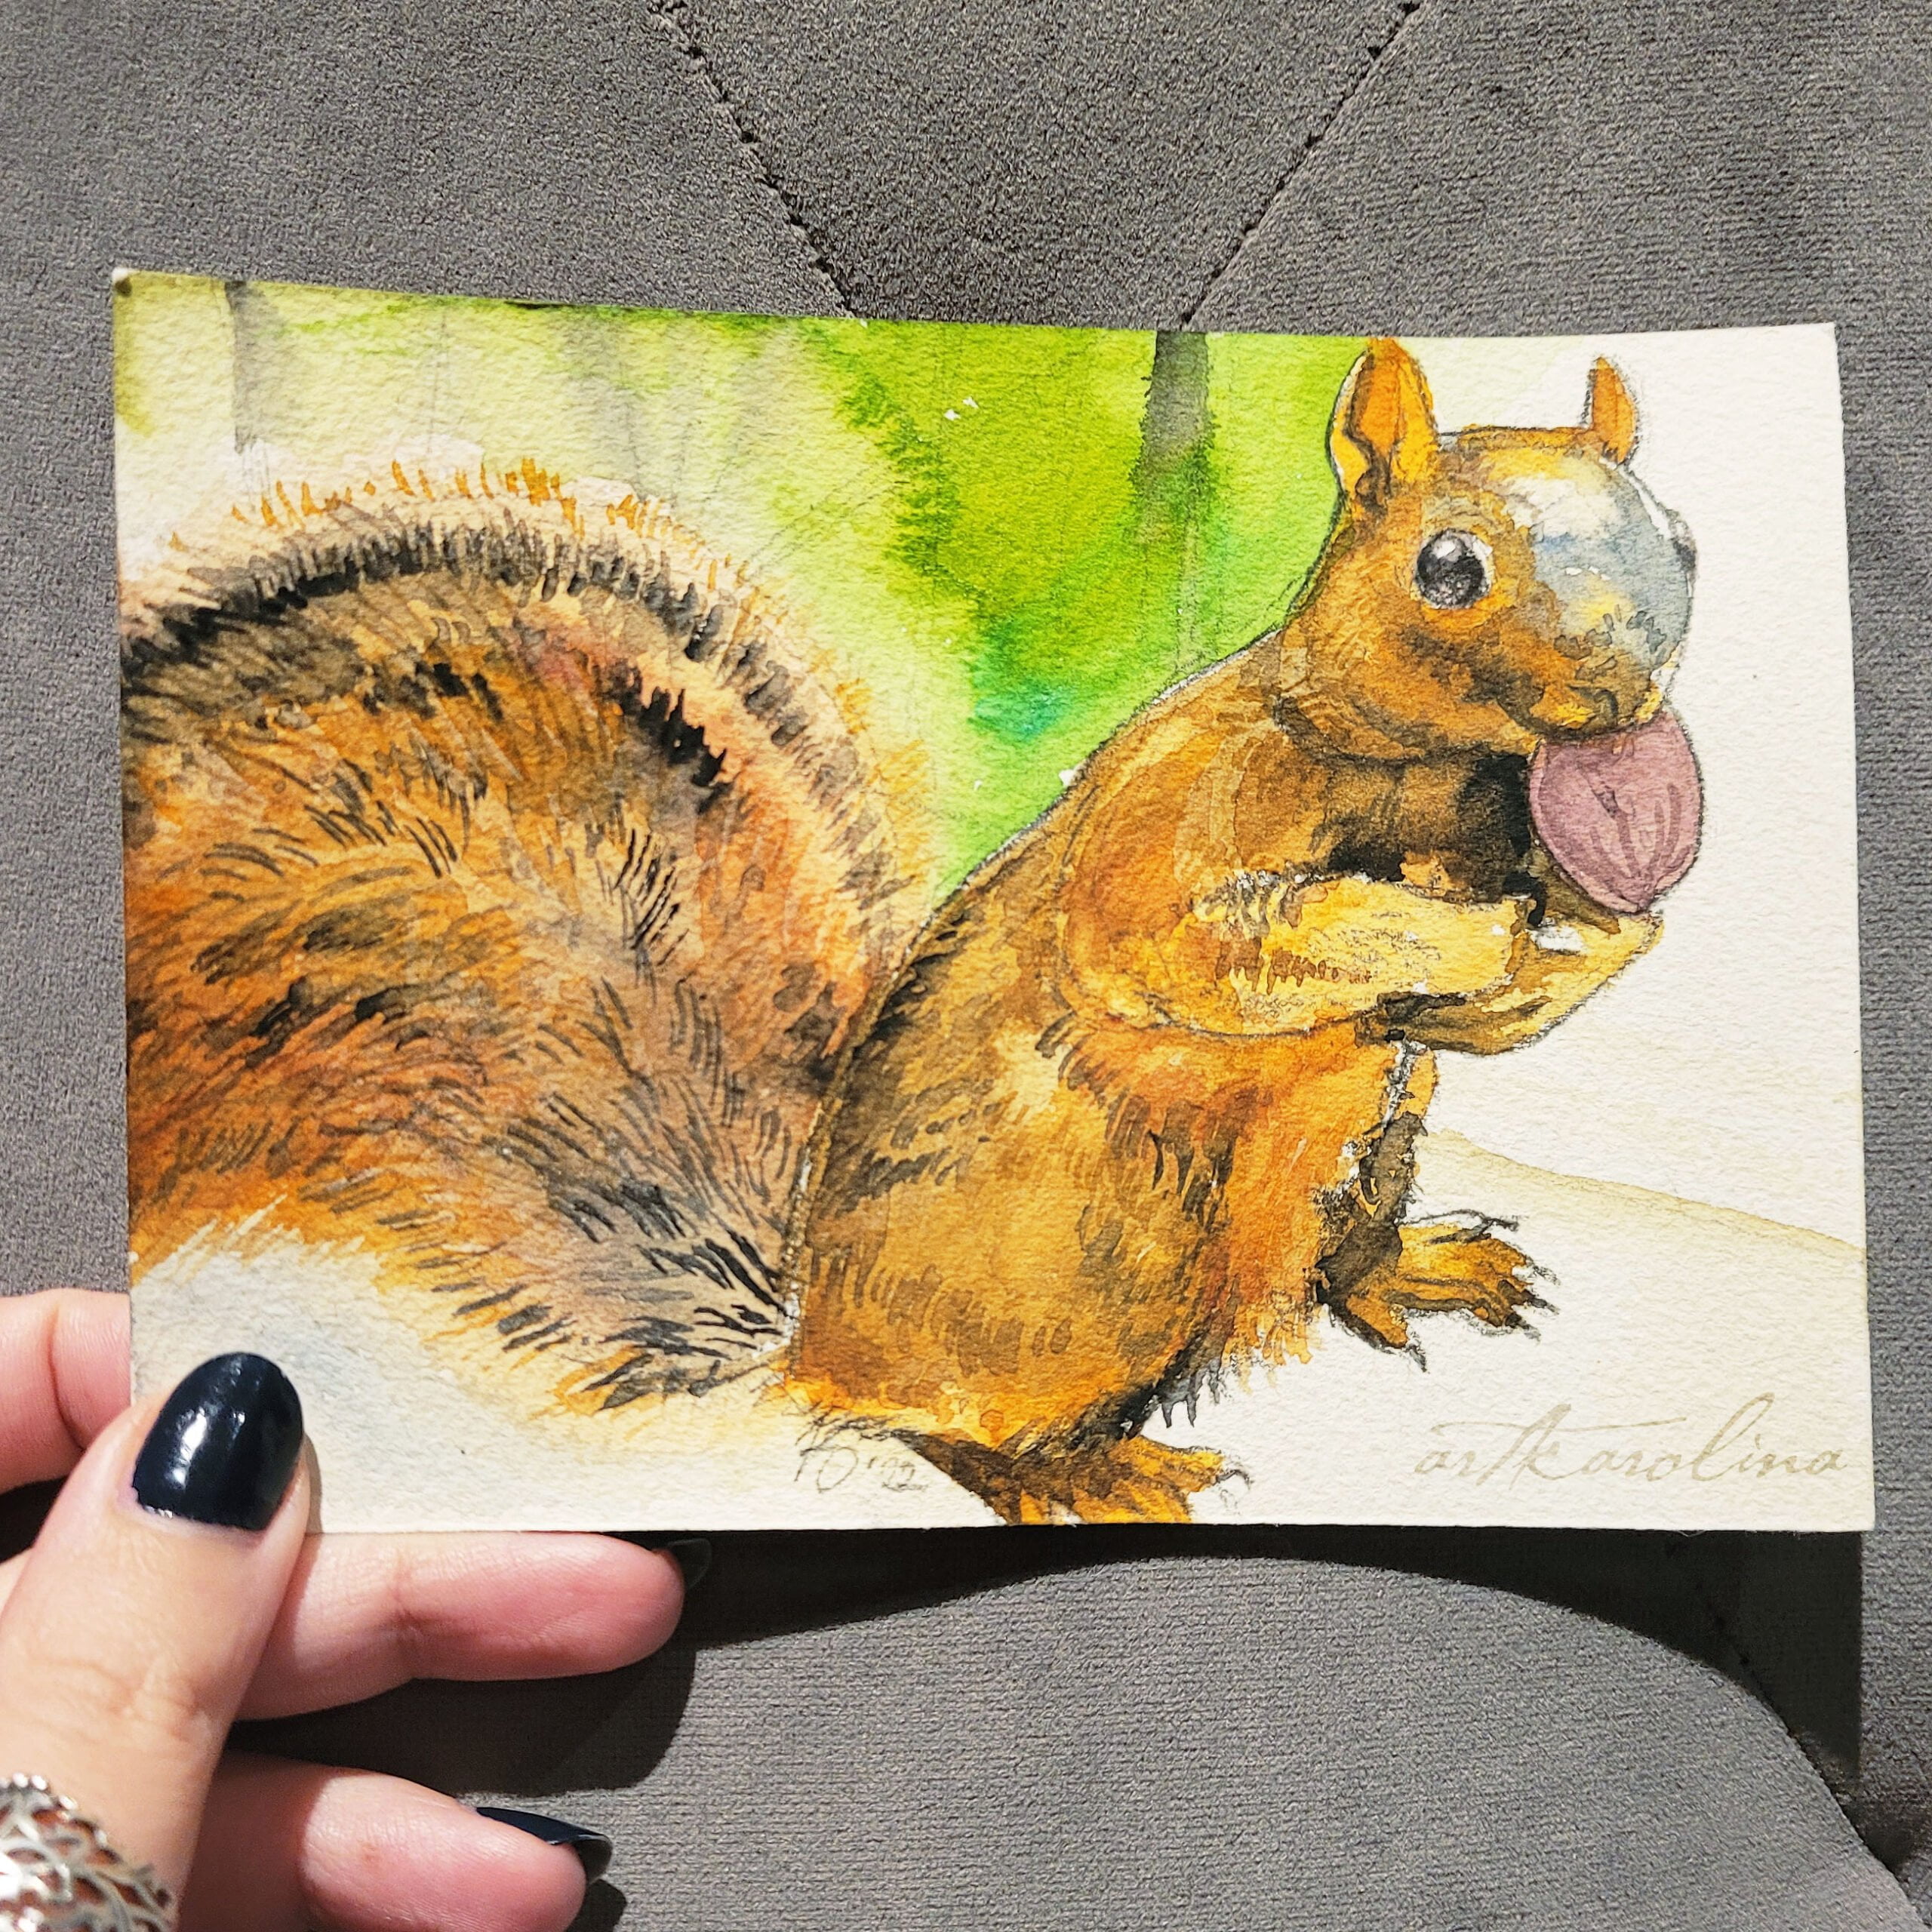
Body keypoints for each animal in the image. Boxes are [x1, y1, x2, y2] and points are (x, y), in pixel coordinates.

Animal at [120, 340, 1695, 1524]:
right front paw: (1456, 935)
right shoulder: (1170, 820)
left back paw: (1410, 1269)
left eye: (1679, 539)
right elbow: (1184, 946)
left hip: (1357, 1156)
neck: (1444, 789)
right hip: (1081, 1276)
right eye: (1449, 567)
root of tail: (805, 1334)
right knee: (939, 1424)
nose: (1624, 698)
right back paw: (1080, 1472)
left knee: (1327, 1266)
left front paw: (1597, 934)